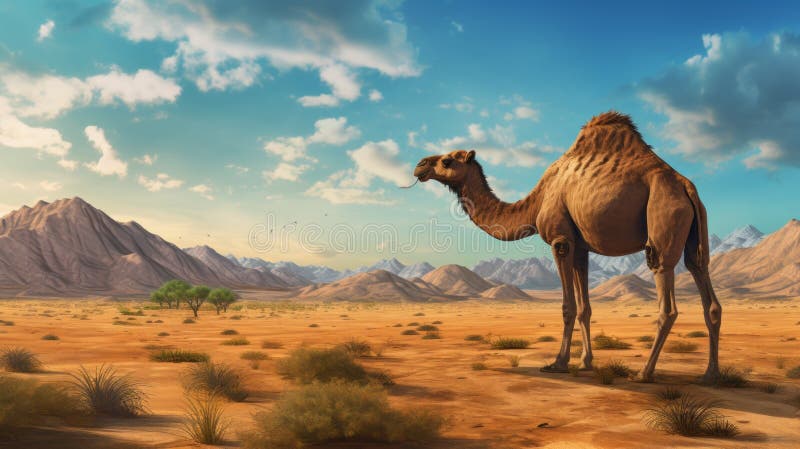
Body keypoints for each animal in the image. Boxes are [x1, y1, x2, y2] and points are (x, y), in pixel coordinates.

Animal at [413, 111, 721, 382]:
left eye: (447, 160)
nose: (420, 165)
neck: (536, 202)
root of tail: (686, 186)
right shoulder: (581, 246)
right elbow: (585, 308)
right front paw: (585, 362)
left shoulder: (560, 239)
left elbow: (567, 307)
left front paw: (558, 363)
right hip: (694, 232)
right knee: (704, 282)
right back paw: (710, 375)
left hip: (663, 216)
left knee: (666, 297)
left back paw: (644, 373)